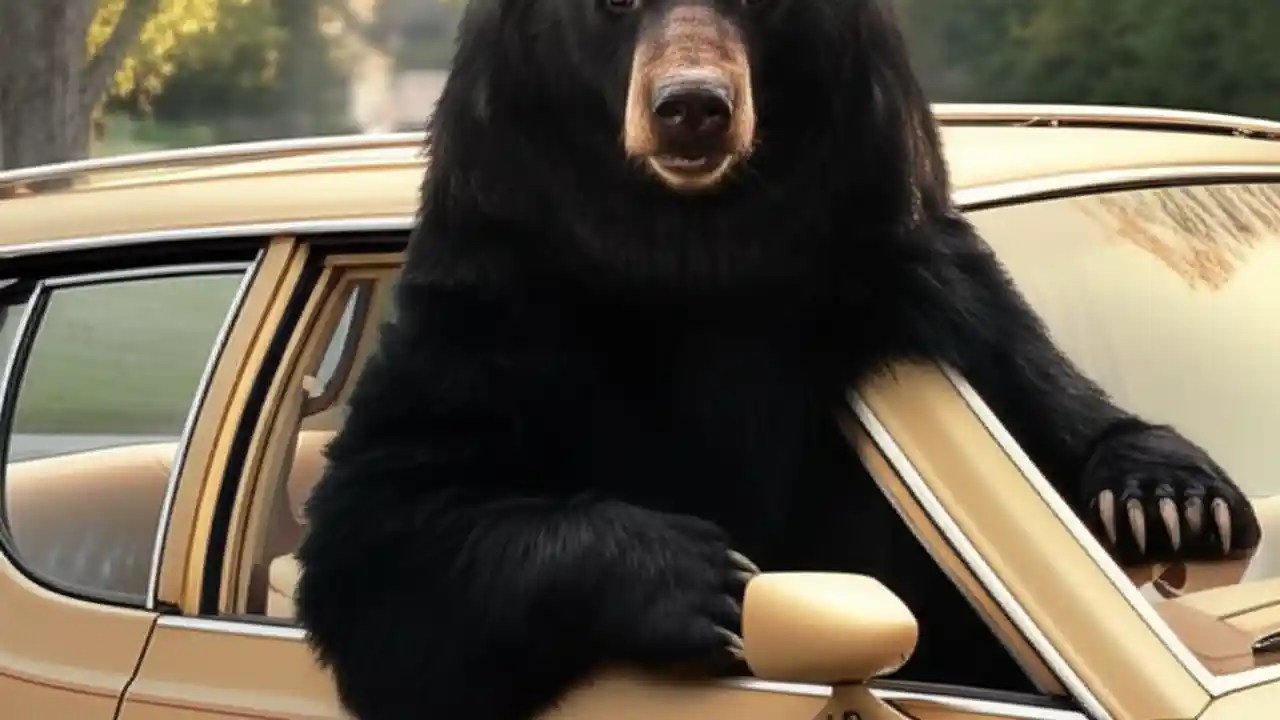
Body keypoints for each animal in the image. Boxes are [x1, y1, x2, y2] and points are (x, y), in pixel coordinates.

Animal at [293, 1, 1262, 718]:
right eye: (615, 3)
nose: (692, 105)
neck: (697, 247)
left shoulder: (898, 266)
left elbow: (1023, 383)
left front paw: (1169, 500)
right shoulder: (499, 295)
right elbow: (380, 535)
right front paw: (700, 580)